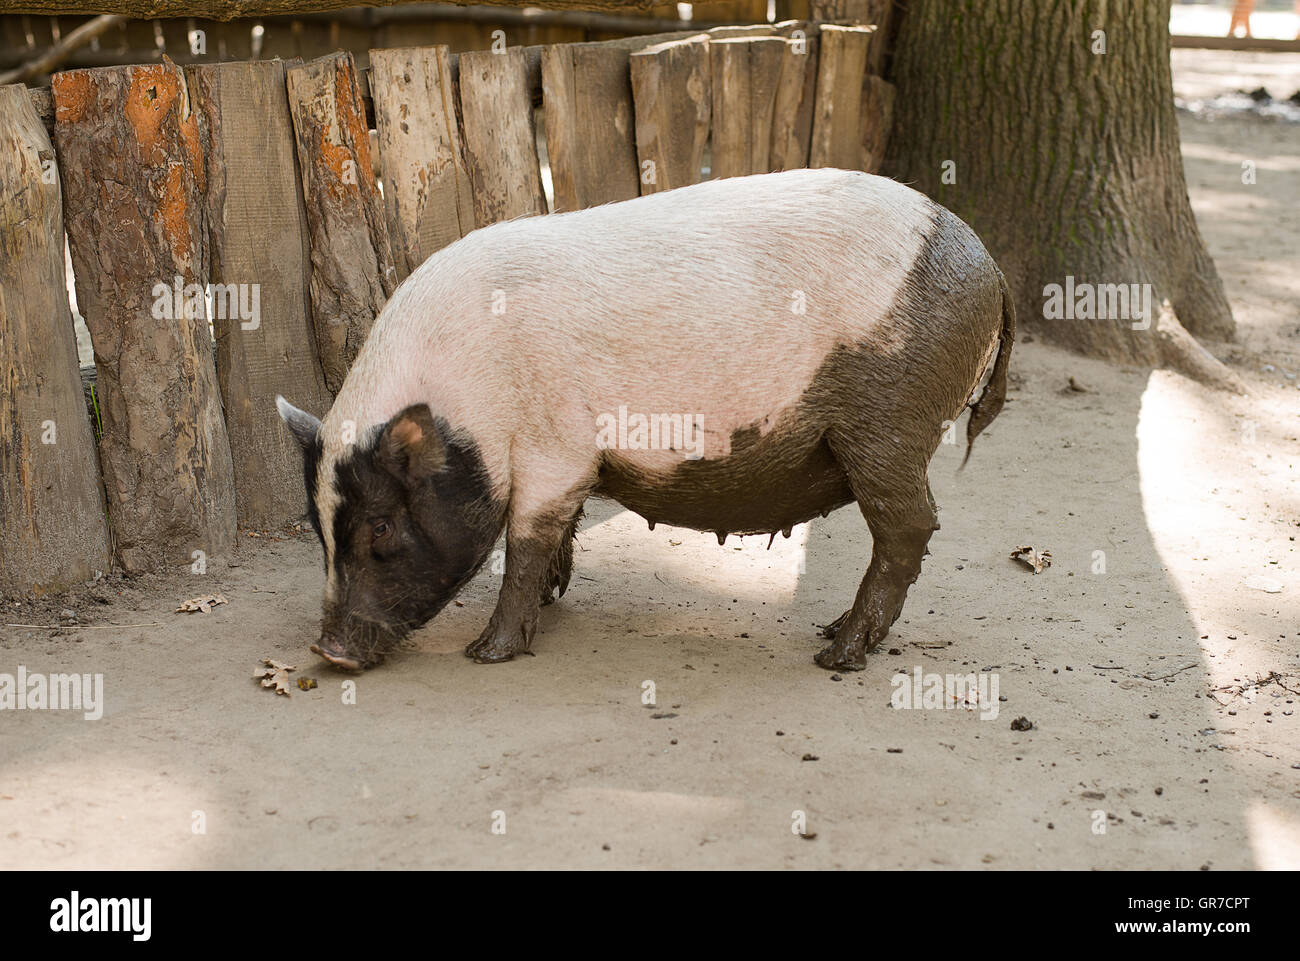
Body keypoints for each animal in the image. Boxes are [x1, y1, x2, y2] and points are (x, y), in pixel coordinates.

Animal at [277, 167, 1013, 673]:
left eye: (381, 526)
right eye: (320, 528)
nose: (328, 649)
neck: (471, 396)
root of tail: (989, 261)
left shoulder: (555, 448)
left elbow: (527, 540)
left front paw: (488, 652)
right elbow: (560, 531)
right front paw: (553, 599)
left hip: (890, 423)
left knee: (911, 527)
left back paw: (837, 653)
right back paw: (833, 634)